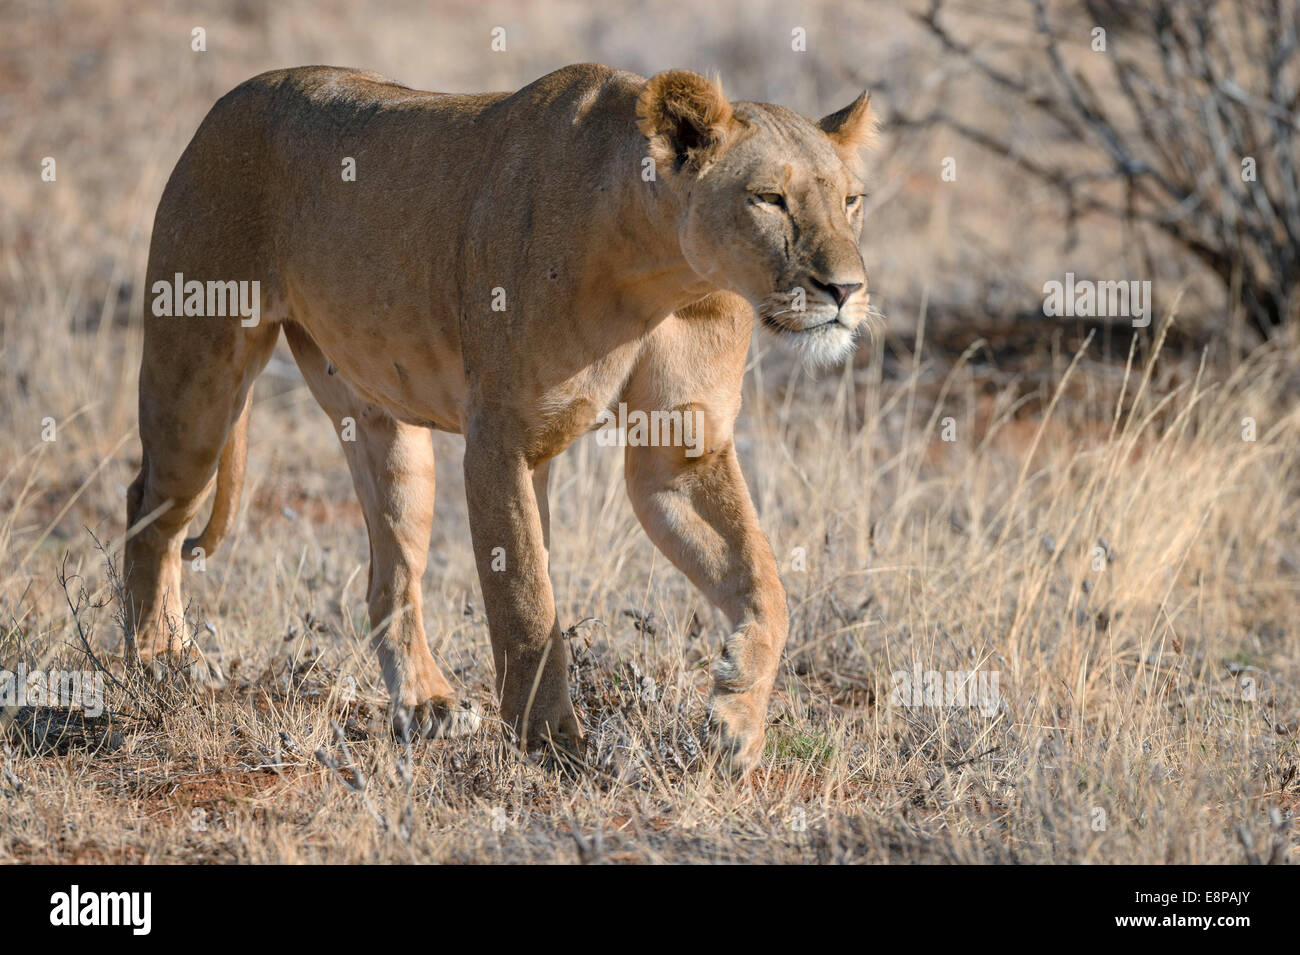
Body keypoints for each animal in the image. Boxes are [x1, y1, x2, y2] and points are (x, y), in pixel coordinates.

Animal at [124, 63, 877, 774]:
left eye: (851, 200)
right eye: (769, 199)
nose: (846, 290)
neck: (663, 271)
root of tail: (231, 98)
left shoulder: (681, 454)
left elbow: (765, 586)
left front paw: (735, 720)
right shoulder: (501, 440)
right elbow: (525, 600)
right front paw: (552, 742)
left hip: (388, 431)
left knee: (388, 577)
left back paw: (426, 704)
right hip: (198, 370)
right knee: (150, 508)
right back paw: (160, 663)